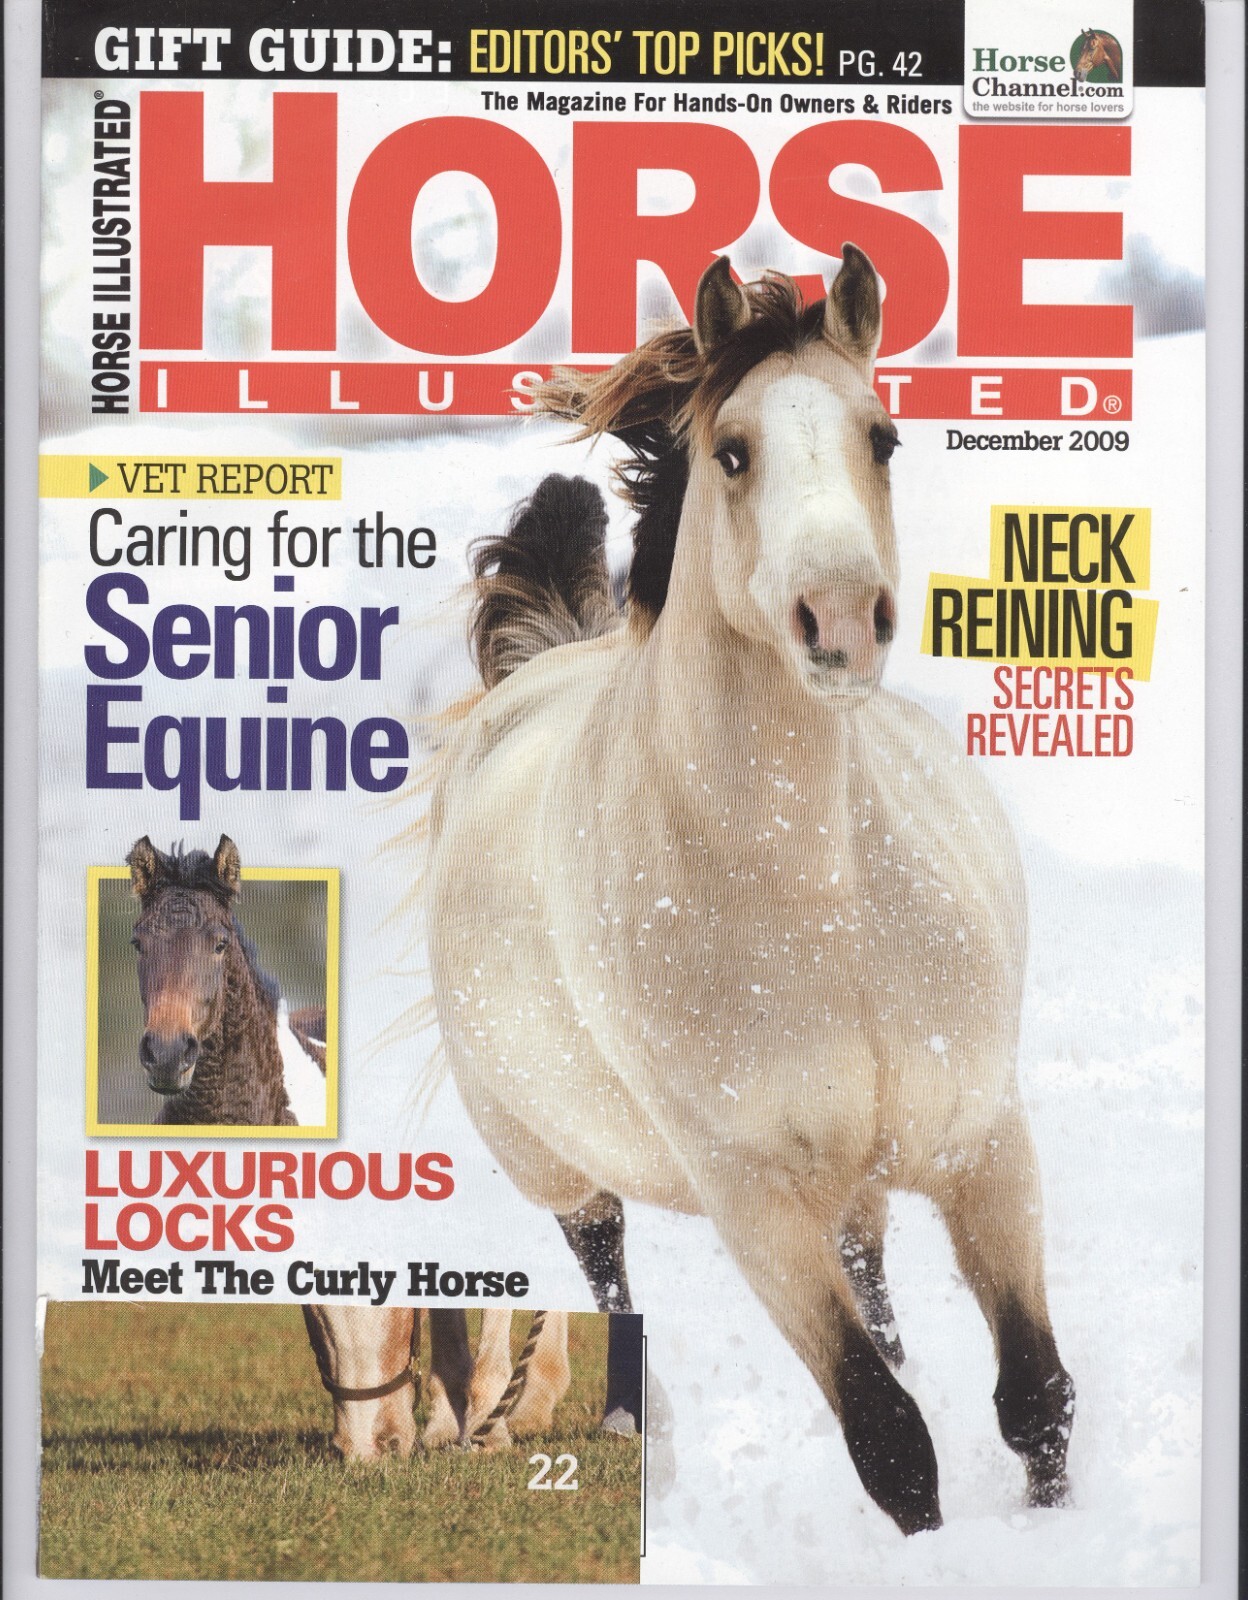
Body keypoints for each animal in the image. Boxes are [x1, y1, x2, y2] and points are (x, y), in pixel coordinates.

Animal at [415, 247, 1074, 1535]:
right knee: (607, 1270)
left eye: (882, 435)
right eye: (732, 450)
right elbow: (889, 1437)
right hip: (560, 1166)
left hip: (862, 1177)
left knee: (881, 1285)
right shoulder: (754, 1202)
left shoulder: (984, 1141)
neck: (816, 898)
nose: (842, 618)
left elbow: (1035, 1395)